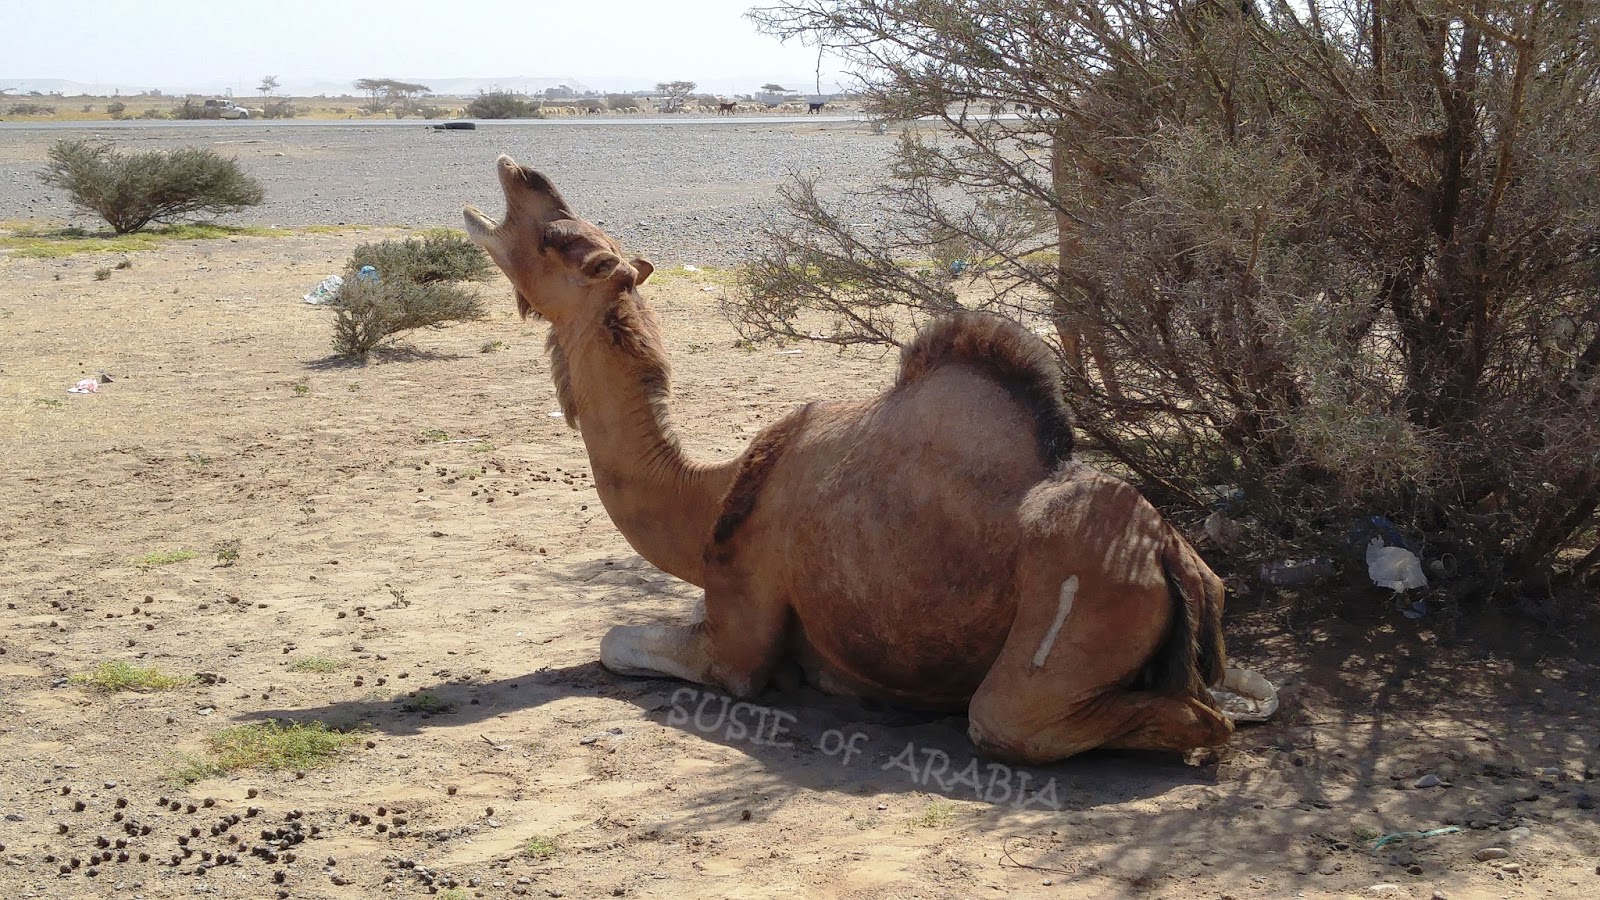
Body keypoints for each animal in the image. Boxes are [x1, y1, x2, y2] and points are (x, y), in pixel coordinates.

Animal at [463, 156, 1235, 763]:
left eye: (555, 239)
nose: (519, 168)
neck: (709, 496)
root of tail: (1169, 557)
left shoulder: (740, 632)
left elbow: (615, 640)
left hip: (1060, 637)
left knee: (1121, 720)